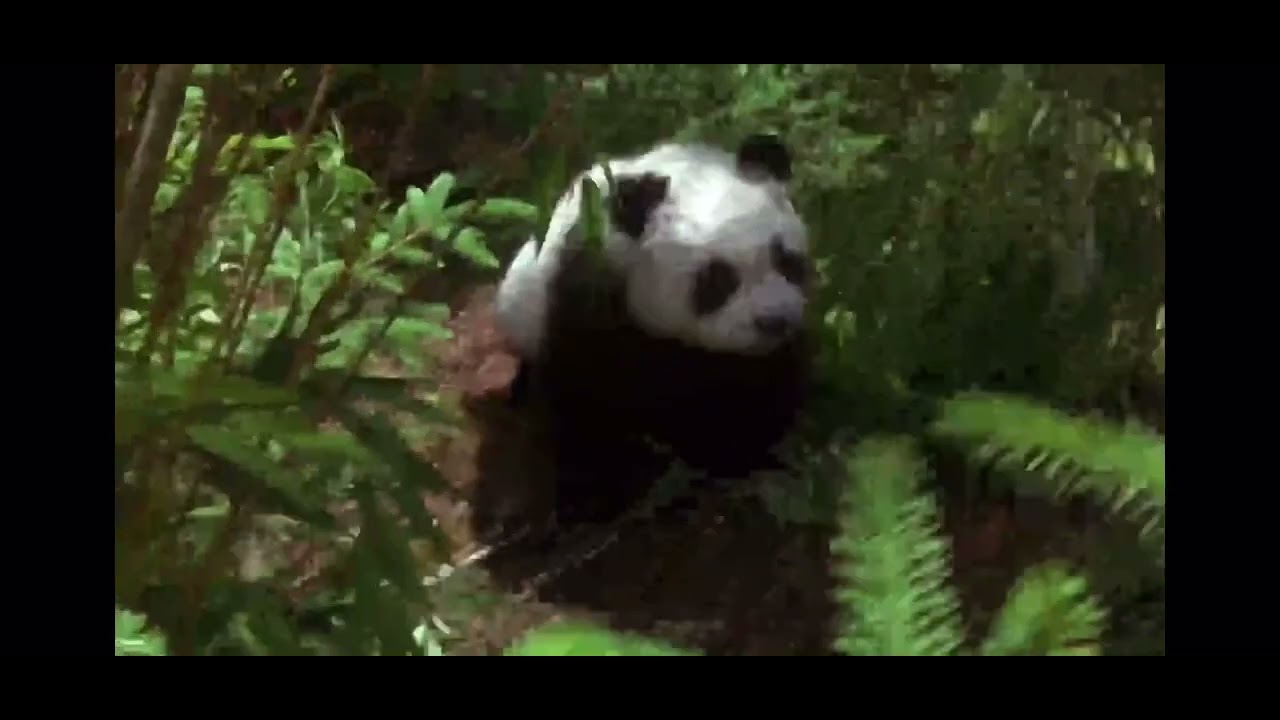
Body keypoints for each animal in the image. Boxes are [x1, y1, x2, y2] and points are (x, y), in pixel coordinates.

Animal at [492, 133, 813, 524]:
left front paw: (738, 453)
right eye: (717, 280)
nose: (774, 321)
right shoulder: (590, 301)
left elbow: (758, 392)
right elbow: (584, 401)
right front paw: (591, 495)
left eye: (786, 259)